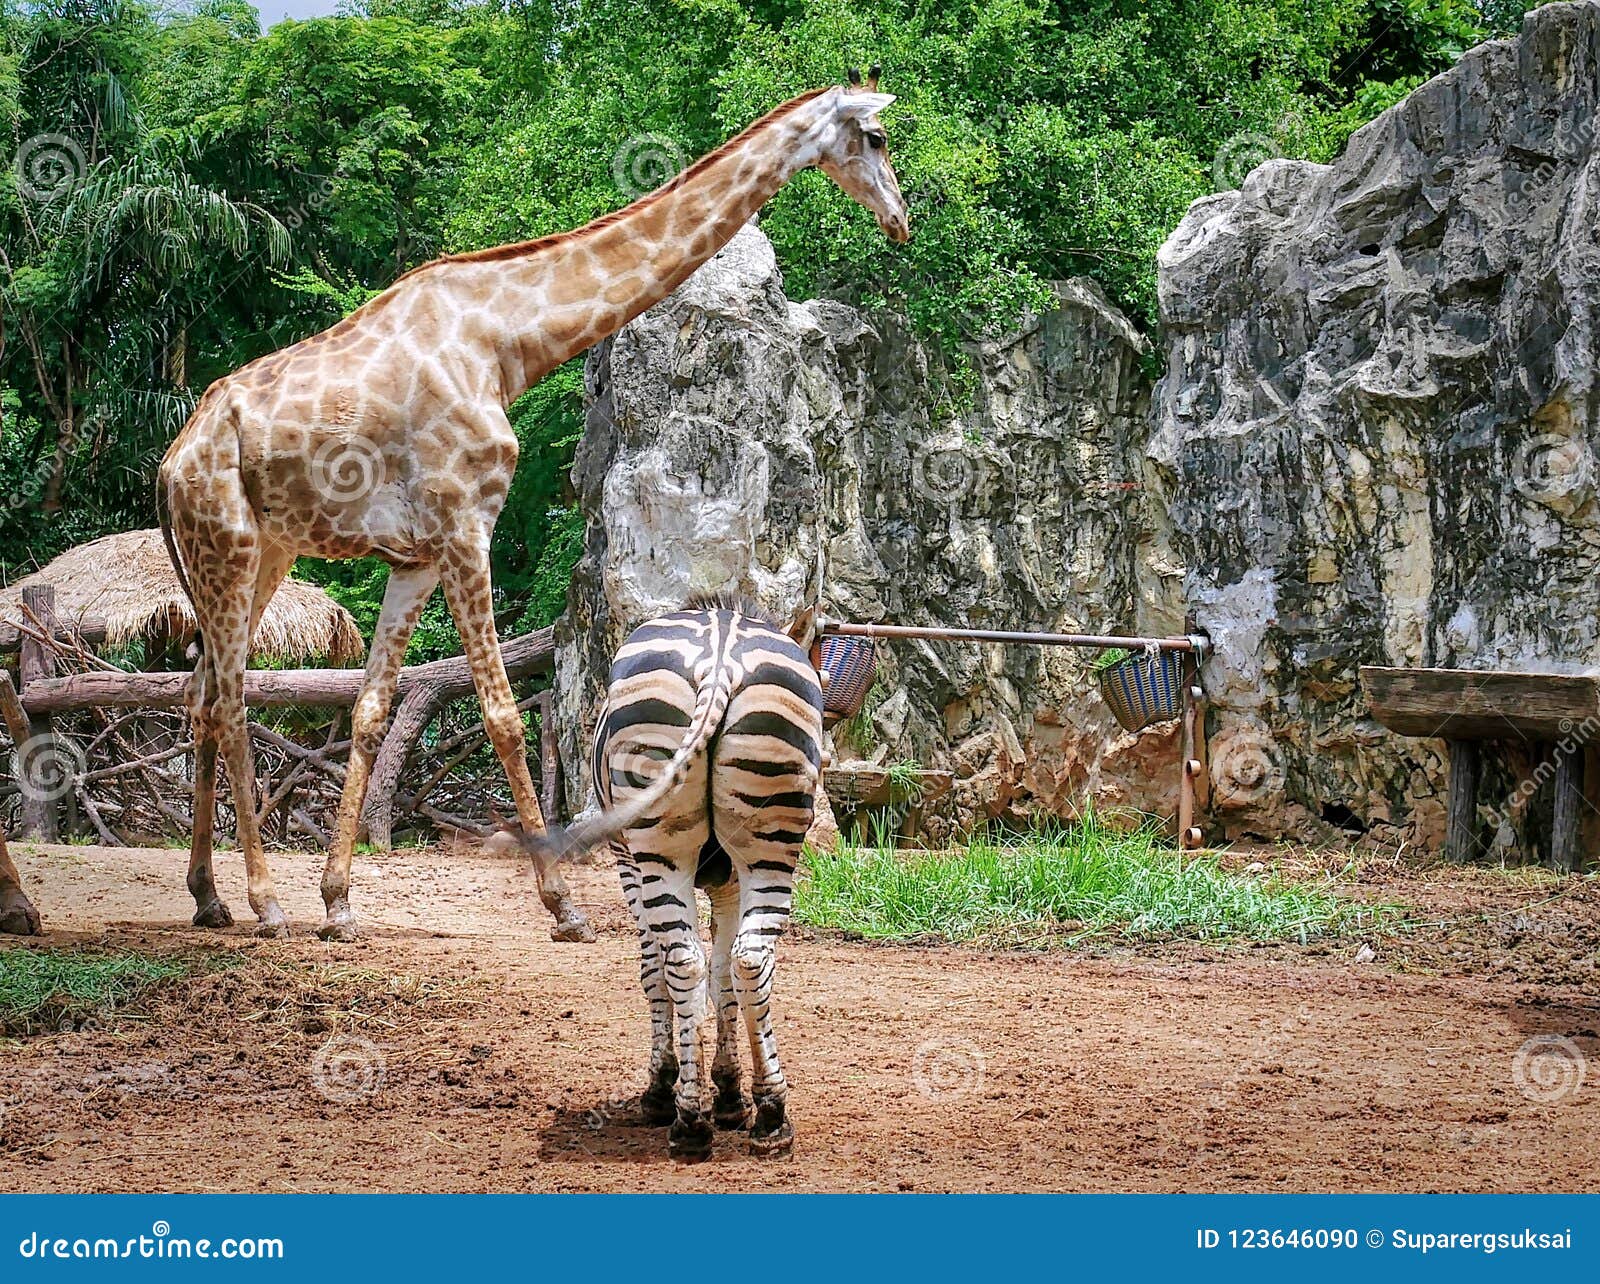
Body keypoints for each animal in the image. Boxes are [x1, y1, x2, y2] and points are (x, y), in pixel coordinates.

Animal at [157, 69, 910, 942]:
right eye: (877, 138)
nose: (900, 219)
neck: (505, 341)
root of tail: (171, 463)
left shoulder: (415, 557)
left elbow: (373, 709)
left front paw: (339, 902)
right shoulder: (465, 528)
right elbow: (503, 715)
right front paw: (564, 904)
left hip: (263, 553)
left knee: (200, 694)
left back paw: (208, 895)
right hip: (228, 545)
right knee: (232, 696)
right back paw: (262, 900)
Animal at [530, 594, 823, 1160]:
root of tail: (721, 653)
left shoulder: (627, 861)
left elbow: (656, 972)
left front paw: (665, 1088)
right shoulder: (730, 879)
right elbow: (724, 975)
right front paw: (730, 1094)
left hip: (656, 847)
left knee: (682, 962)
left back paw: (687, 1121)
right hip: (770, 842)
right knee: (751, 958)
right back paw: (772, 1115)